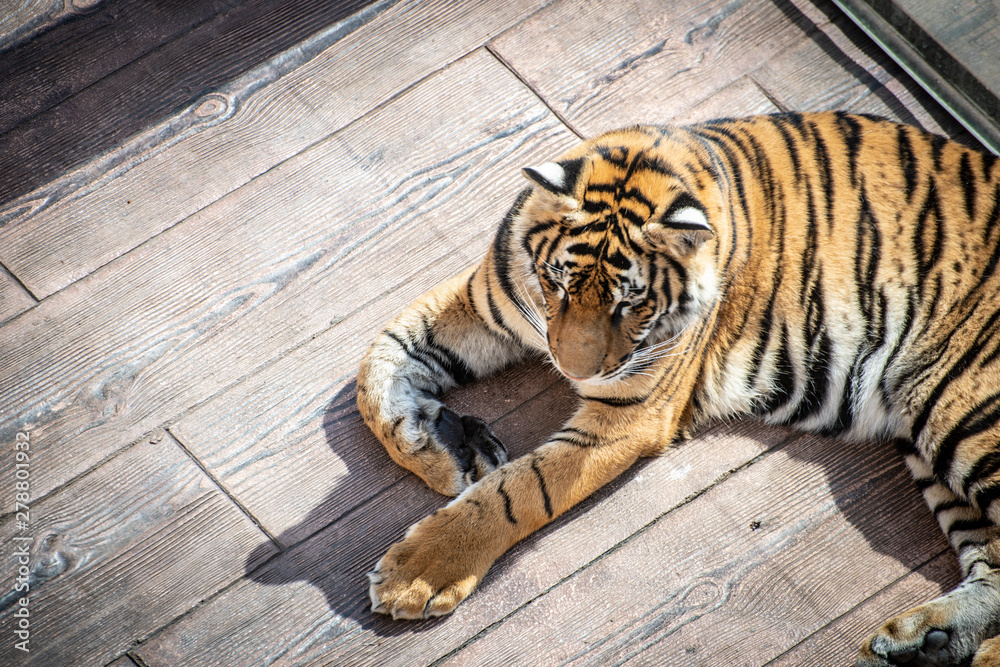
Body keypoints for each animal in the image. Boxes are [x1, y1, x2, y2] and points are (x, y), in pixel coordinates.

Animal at [356, 111, 1000, 666]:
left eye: (629, 302)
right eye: (558, 282)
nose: (574, 372)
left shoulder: (630, 413)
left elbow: (519, 490)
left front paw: (417, 571)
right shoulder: (486, 302)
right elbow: (375, 368)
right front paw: (444, 450)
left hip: (961, 409)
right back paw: (925, 640)